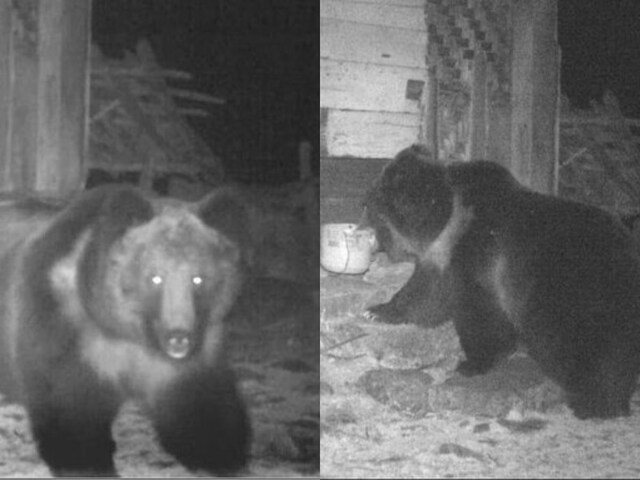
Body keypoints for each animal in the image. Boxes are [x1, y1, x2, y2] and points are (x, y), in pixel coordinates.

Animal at [0, 185, 251, 476]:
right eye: (155, 277)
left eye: (198, 278)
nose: (178, 336)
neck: (127, 332)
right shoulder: (65, 329)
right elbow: (71, 404)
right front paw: (86, 461)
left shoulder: (189, 356)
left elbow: (199, 404)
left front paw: (221, 454)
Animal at [362, 144, 640, 420]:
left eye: (380, 193)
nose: (366, 198)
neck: (451, 220)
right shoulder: (447, 258)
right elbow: (426, 296)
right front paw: (377, 310)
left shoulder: (476, 256)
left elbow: (474, 313)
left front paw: (471, 363)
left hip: (568, 292)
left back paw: (593, 402)